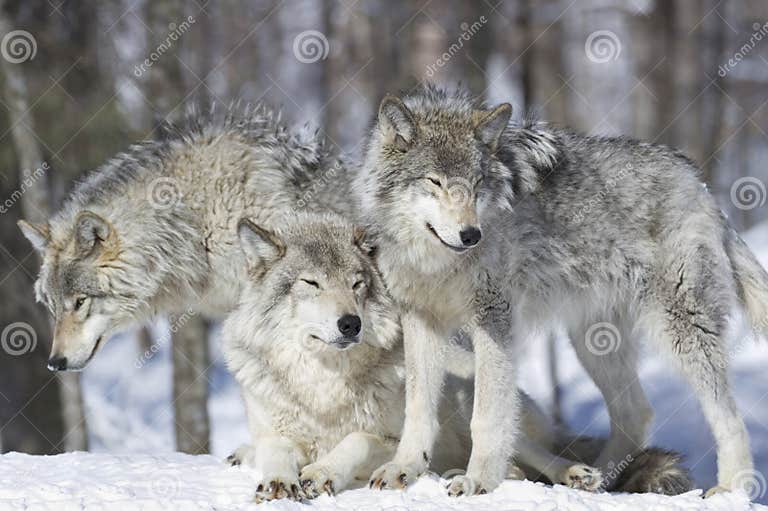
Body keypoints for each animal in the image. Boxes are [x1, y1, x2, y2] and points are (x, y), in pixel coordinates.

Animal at [222, 212, 692, 502]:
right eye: (311, 283)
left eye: (357, 284)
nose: (350, 324)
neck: (324, 385)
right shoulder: (274, 431)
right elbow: (275, 453)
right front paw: (279, 480)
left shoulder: (391, 439)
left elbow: (355, 439)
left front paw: (320, 472)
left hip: (473, 404)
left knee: (534, 461)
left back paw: (568, 474)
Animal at [354, 86, 768, 497]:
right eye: (435, 182)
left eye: (476, 184)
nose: (471, 235)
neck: (436, 261)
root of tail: (699, 182)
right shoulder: (421, 320)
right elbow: (418, 410)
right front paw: (405, 468)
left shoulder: (495, 321)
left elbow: (486, 417)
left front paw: (479, 482)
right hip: (594, 342)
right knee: (637, 413)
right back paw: (594, 480)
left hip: (679, 331)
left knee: (729, 417)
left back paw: (730, 488)